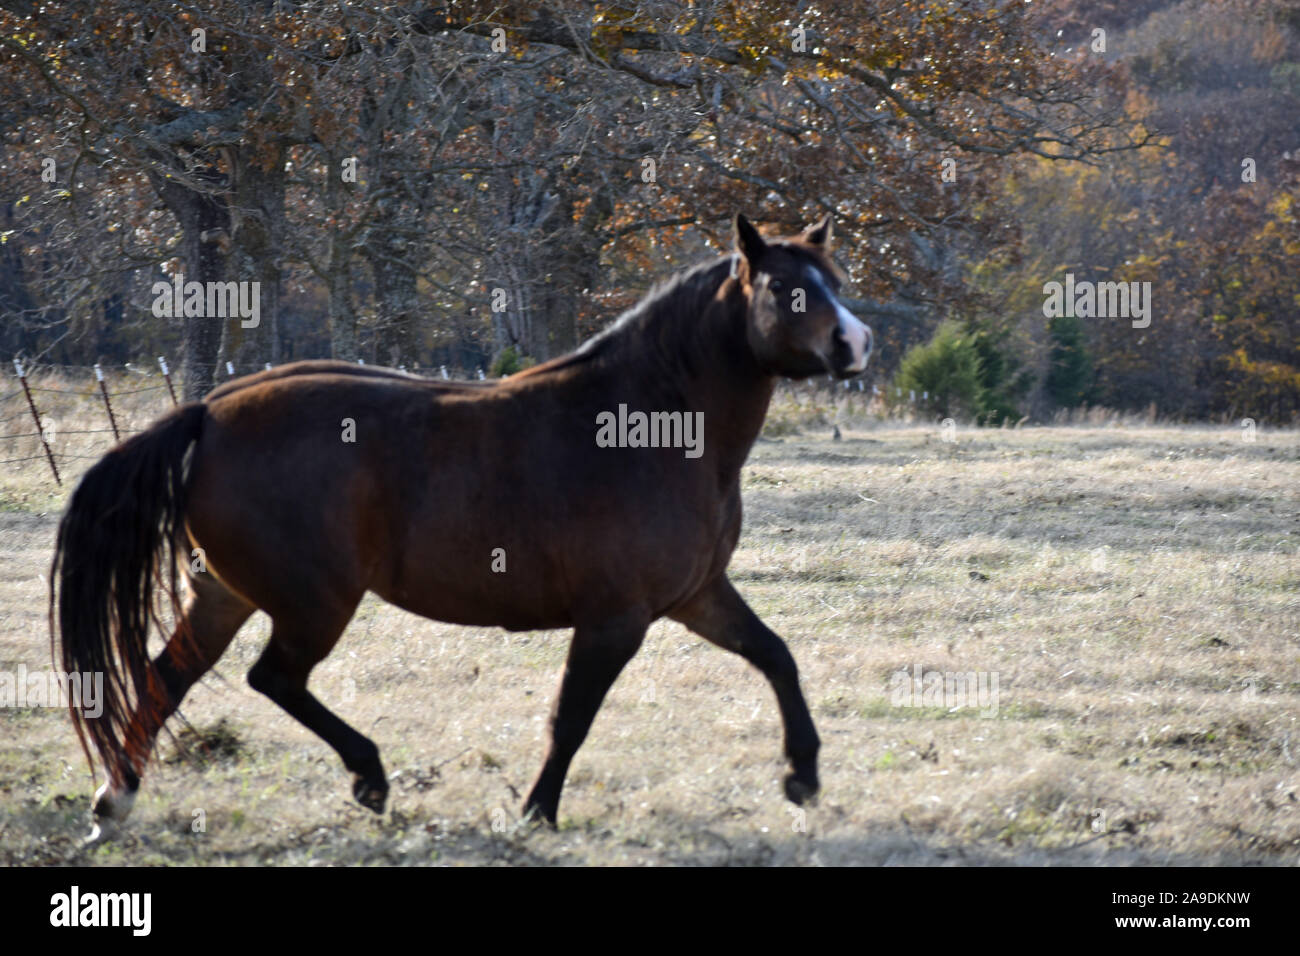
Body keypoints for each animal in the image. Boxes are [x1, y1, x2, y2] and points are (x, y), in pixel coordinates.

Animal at [50, 213, 873, 838]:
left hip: (226, 594)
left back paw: (115, 803)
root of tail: (209, 413)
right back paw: (370, 779)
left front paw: (802, 777)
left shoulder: (696, 595)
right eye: (788, 289)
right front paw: (537, 813)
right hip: (314, 603)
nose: (855, 344)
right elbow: (570, 718)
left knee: (165, 679)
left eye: (833, 279)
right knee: (271, 677)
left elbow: (775, 656)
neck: (647, 424)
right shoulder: (617, 617)